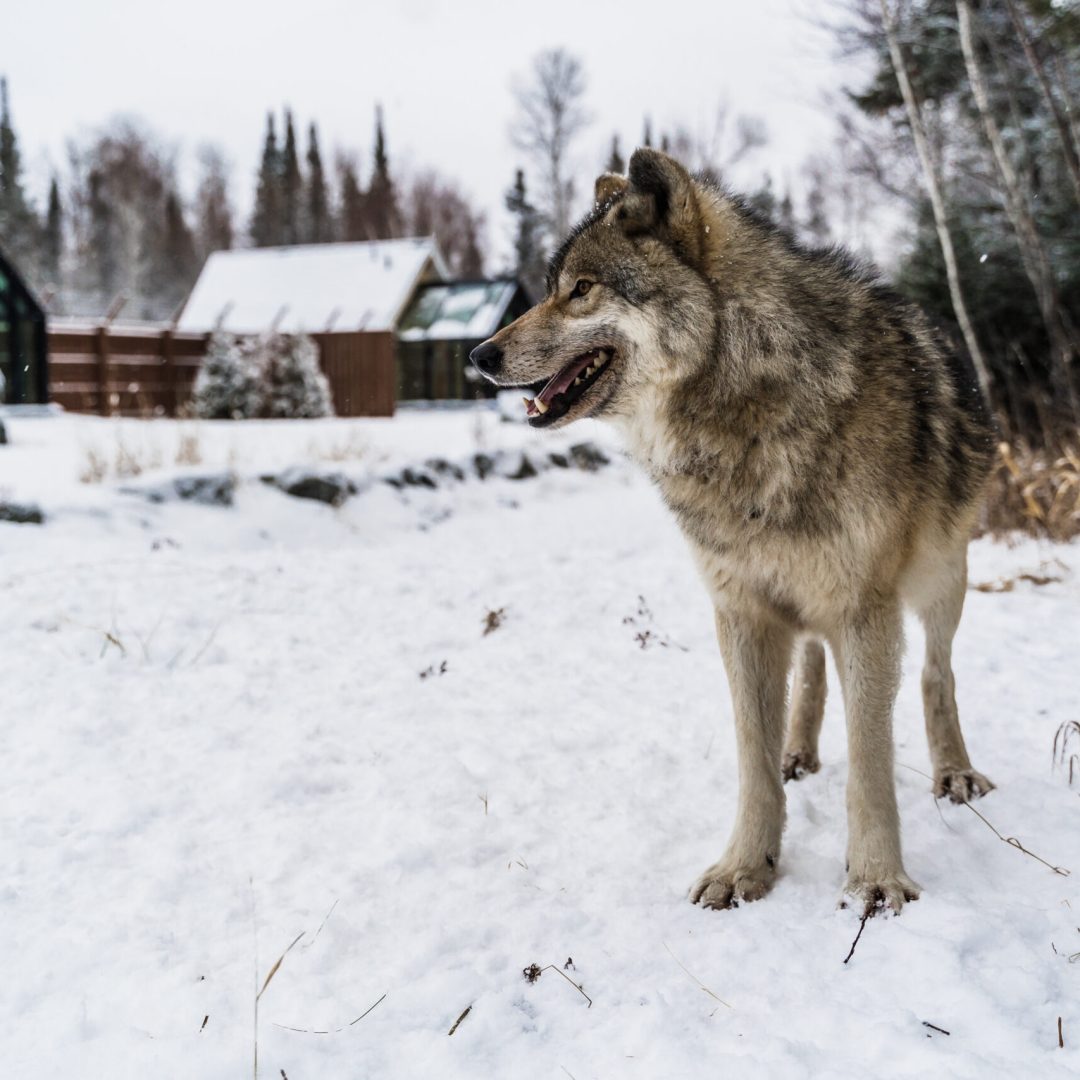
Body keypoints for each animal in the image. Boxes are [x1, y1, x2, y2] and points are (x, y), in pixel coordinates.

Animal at [470, 149, 996, 914]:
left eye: (581, 290)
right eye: (549, 290)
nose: (479, 355)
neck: (744, 400)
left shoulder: (864, 610)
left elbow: (870, 760)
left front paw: (875, 879)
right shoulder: (740, 610)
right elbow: (754, 757)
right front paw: (747, 866)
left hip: (938, 581)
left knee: (937, 672)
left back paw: (954, 773)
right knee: (813, 666)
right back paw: (800, 750)